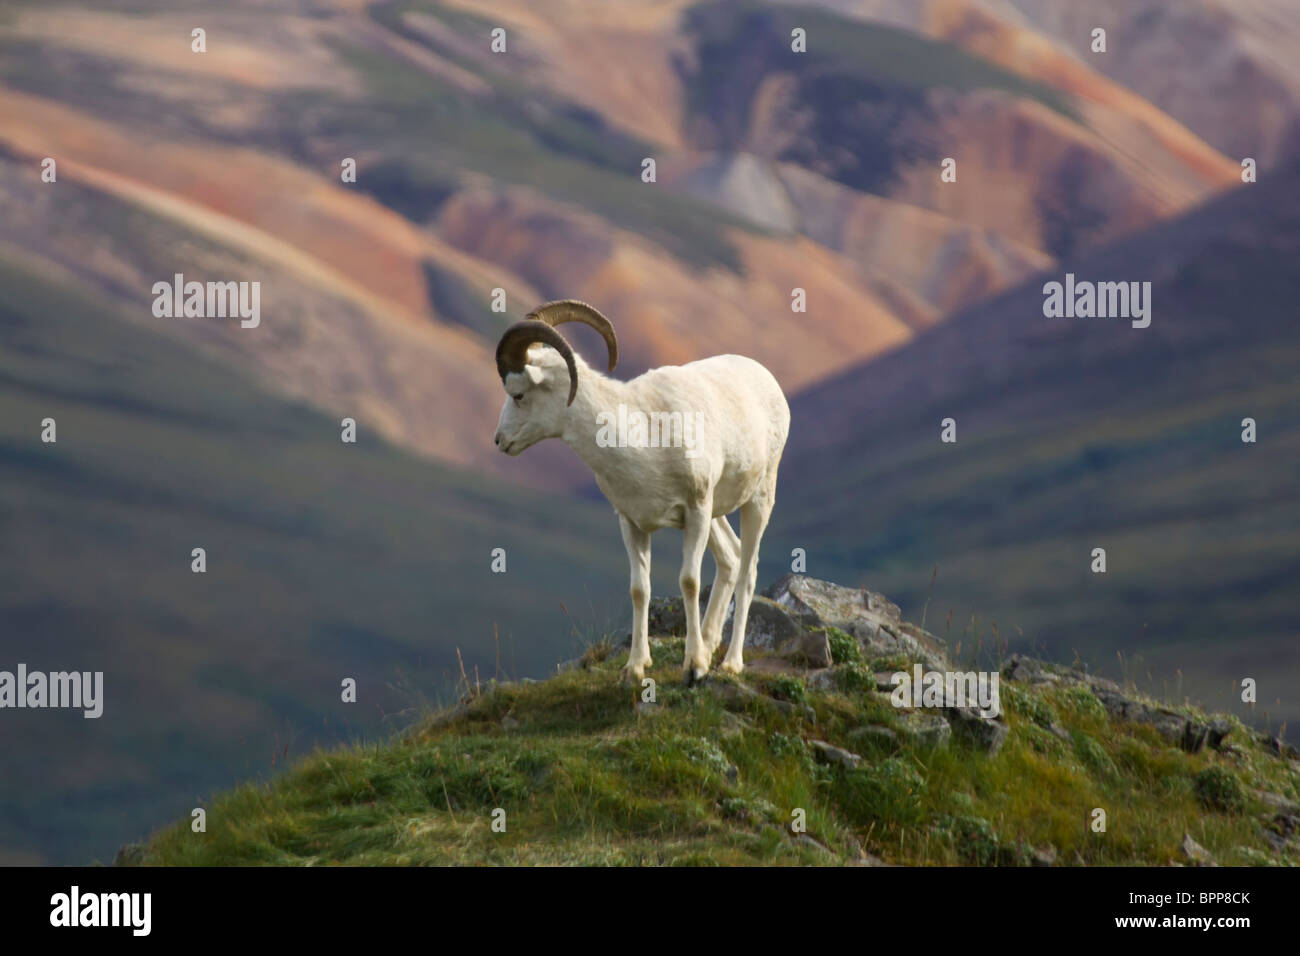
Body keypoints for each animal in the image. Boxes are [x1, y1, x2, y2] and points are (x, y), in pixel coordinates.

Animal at [493, 300, 790, 684]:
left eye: (518, 395)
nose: (500, 441)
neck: (643, 435)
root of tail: (767, 380)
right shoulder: (632, 523)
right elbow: (639, 589)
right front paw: (635, 669)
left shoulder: (696, 511)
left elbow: (689, 581)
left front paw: (694, 667)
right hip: (717, 513)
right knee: (730, 558)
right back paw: (711, 645)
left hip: (756, 499)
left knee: (747, 571)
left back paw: (729, 663)